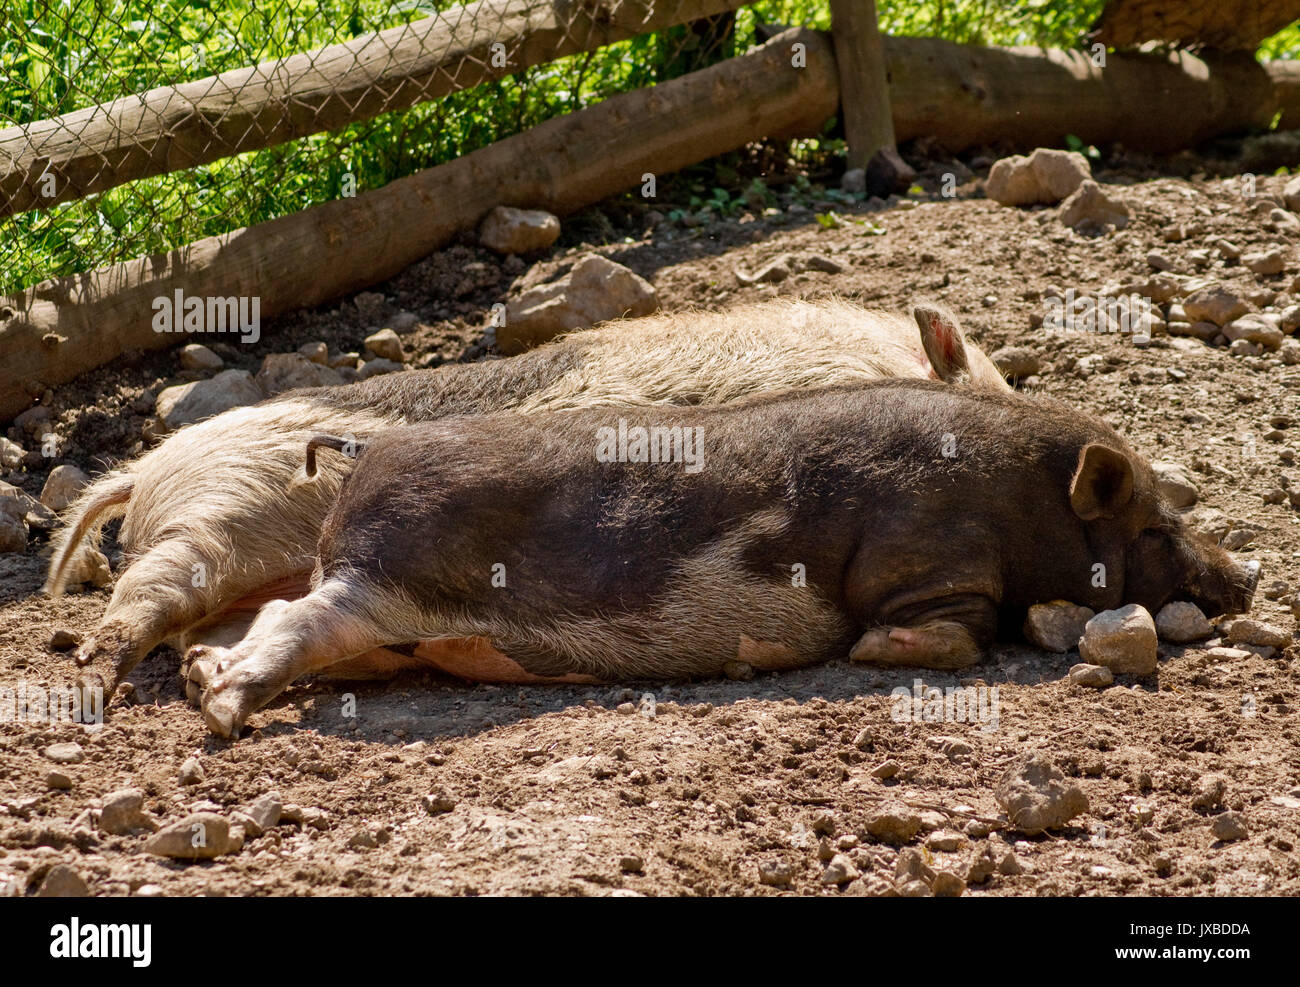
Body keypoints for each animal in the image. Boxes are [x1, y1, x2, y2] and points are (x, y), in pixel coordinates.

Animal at [185, 379, 1259, 738]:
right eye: (1150, 529)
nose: (1247, 577)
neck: (1021, 500)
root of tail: (365, 457)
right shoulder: (924, 558)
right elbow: (950, 630)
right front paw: (869, 654)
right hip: (381, 582)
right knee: (293, 621)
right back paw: (223, 712)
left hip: (386, 615)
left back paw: (201, 672)